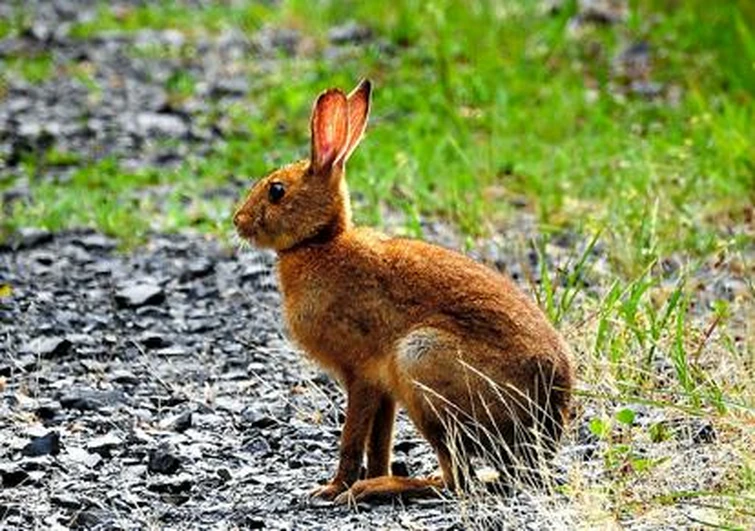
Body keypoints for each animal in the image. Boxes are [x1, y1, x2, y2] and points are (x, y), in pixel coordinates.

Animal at [233, 79, 574, 504]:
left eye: (276, 191)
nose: (238, 221)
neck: (320, 242)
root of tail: (547, 426)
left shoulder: (361, 372)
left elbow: (352, 438)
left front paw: (333, 489)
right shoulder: (383, 389)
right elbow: (379, 441)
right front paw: (361, 476)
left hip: (422, 362)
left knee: (456, 479)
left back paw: (378, 487)